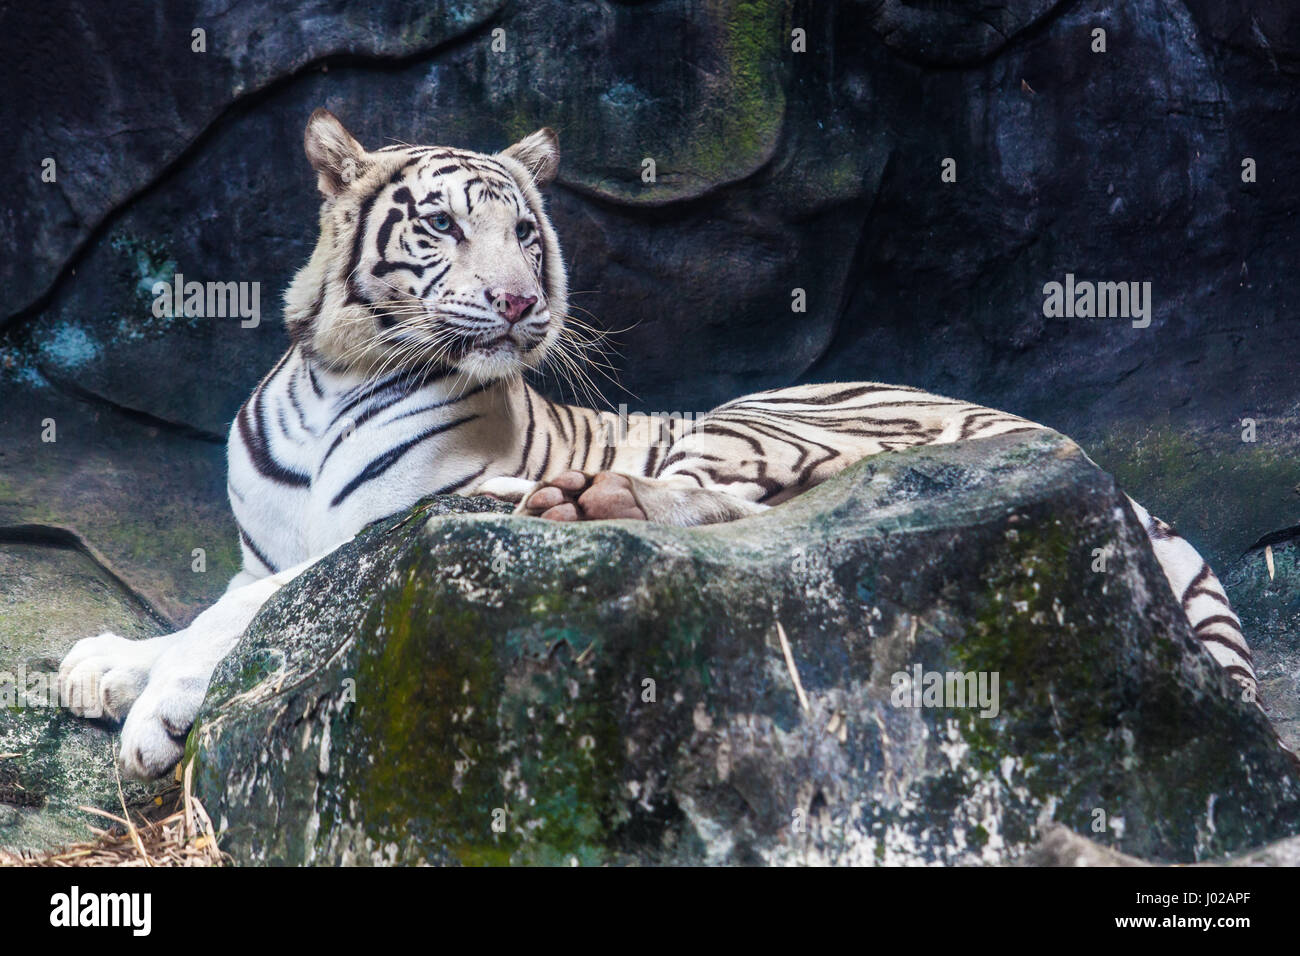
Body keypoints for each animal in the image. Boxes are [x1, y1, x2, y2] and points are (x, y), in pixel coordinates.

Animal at [57, 109, 1256, 779]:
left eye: (526, 231)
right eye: (442, 225)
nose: (520, 302)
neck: (337, 372)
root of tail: (1087, 459)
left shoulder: (385, 522)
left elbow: (239, 615)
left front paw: (151, 711)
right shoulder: (261, 550)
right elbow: (206, 606)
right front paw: (105, 664)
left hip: (764, 416)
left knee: (733, 505)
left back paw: (571, 502)